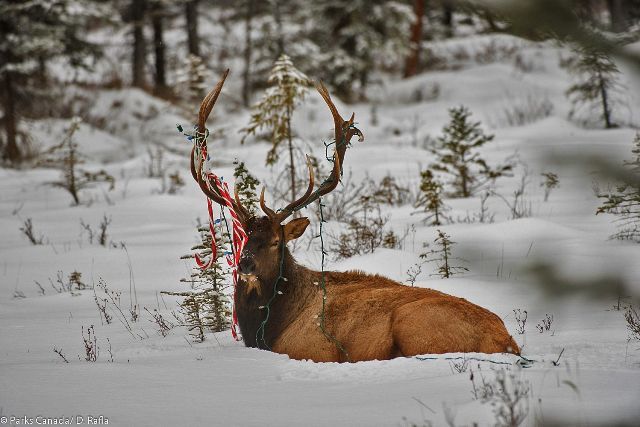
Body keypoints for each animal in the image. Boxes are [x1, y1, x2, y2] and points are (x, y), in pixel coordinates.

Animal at [189, 70, 520, 363]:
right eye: (245, 238)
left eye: (275, 242)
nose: (245, 264)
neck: (267, 327)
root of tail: (506, 341)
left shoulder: (313, 348)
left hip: (414, 325)